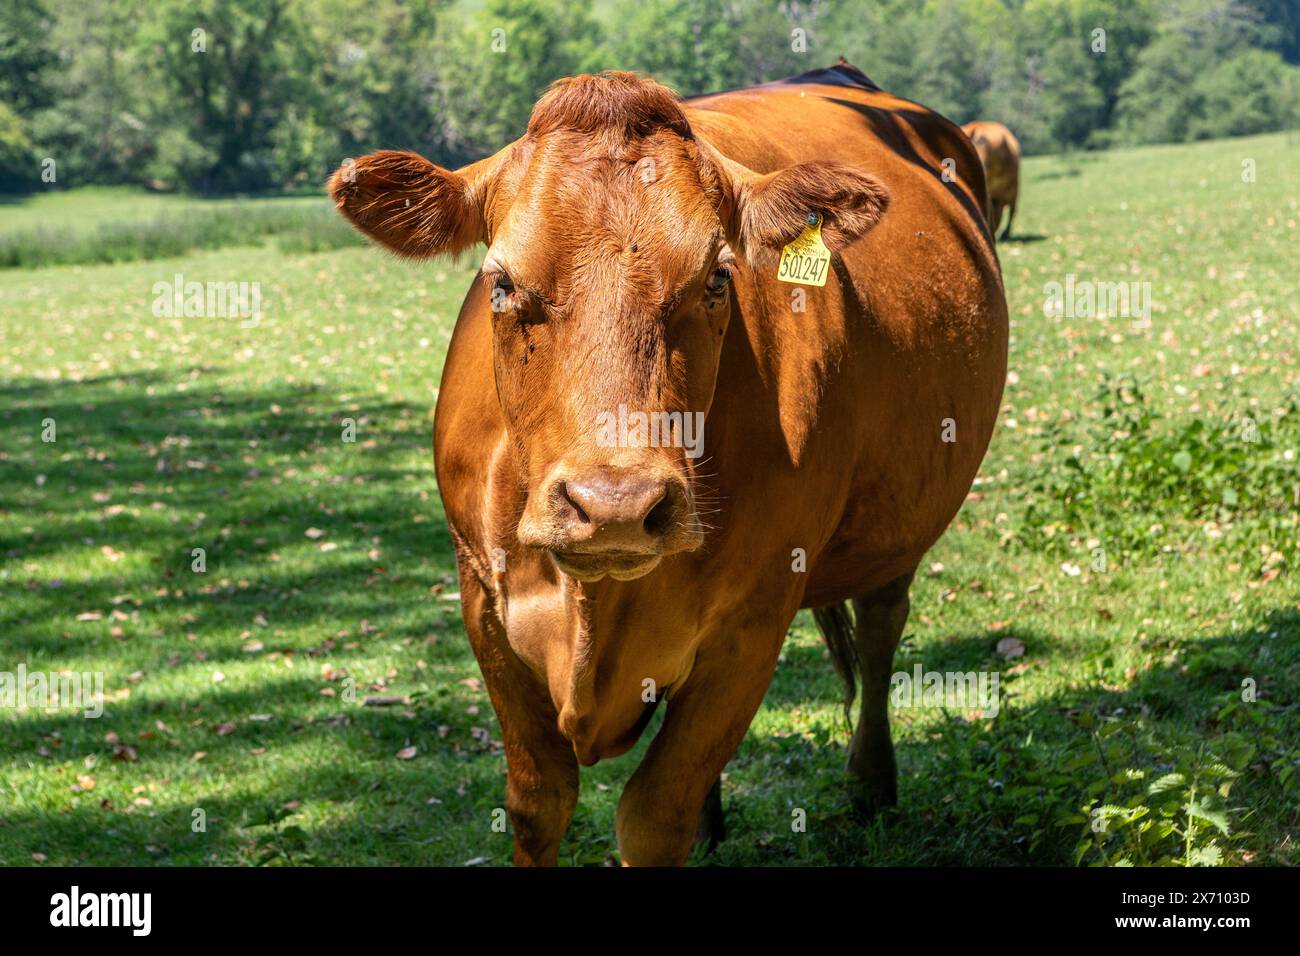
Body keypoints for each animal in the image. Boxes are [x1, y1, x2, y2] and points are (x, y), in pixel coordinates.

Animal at [329, 61, 1007, 866]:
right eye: (501, 283)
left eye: (716, 279)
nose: (615, 506)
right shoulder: (481, 602)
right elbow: (537, 804)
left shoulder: (754, 623)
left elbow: (655, 814)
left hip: (899, 528)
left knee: (879, 633)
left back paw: (872, 783)